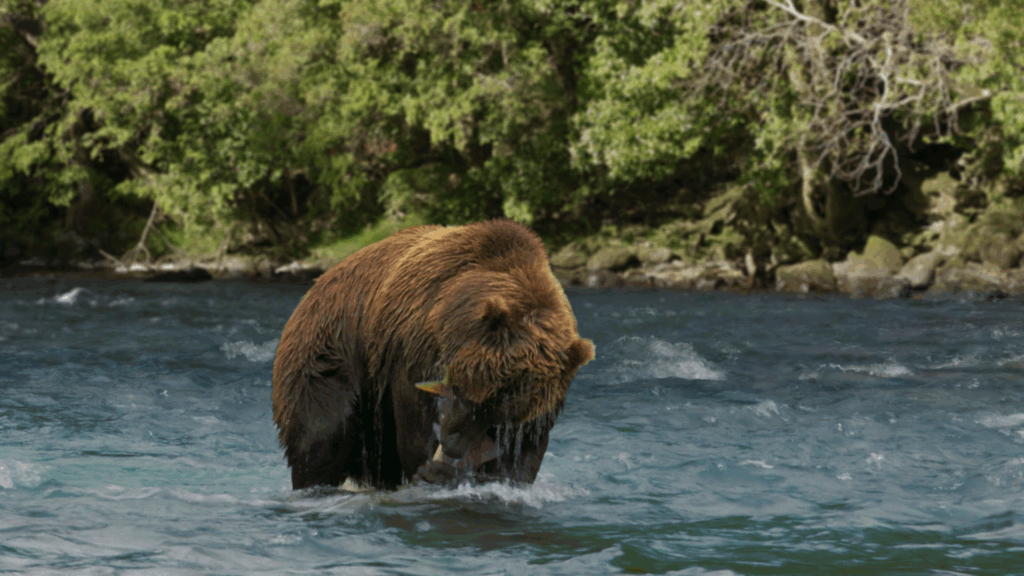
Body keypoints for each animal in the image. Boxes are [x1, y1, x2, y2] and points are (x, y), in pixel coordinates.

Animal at [271, 219, 594, 490]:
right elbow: (414, 422)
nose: (452, 446)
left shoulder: (543, 399)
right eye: (468, 393)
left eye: (498, 412)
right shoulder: (412, 348)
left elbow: (525, 452)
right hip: (328, 358)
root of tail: (314, 287)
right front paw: (432, 470)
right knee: (323, 435)